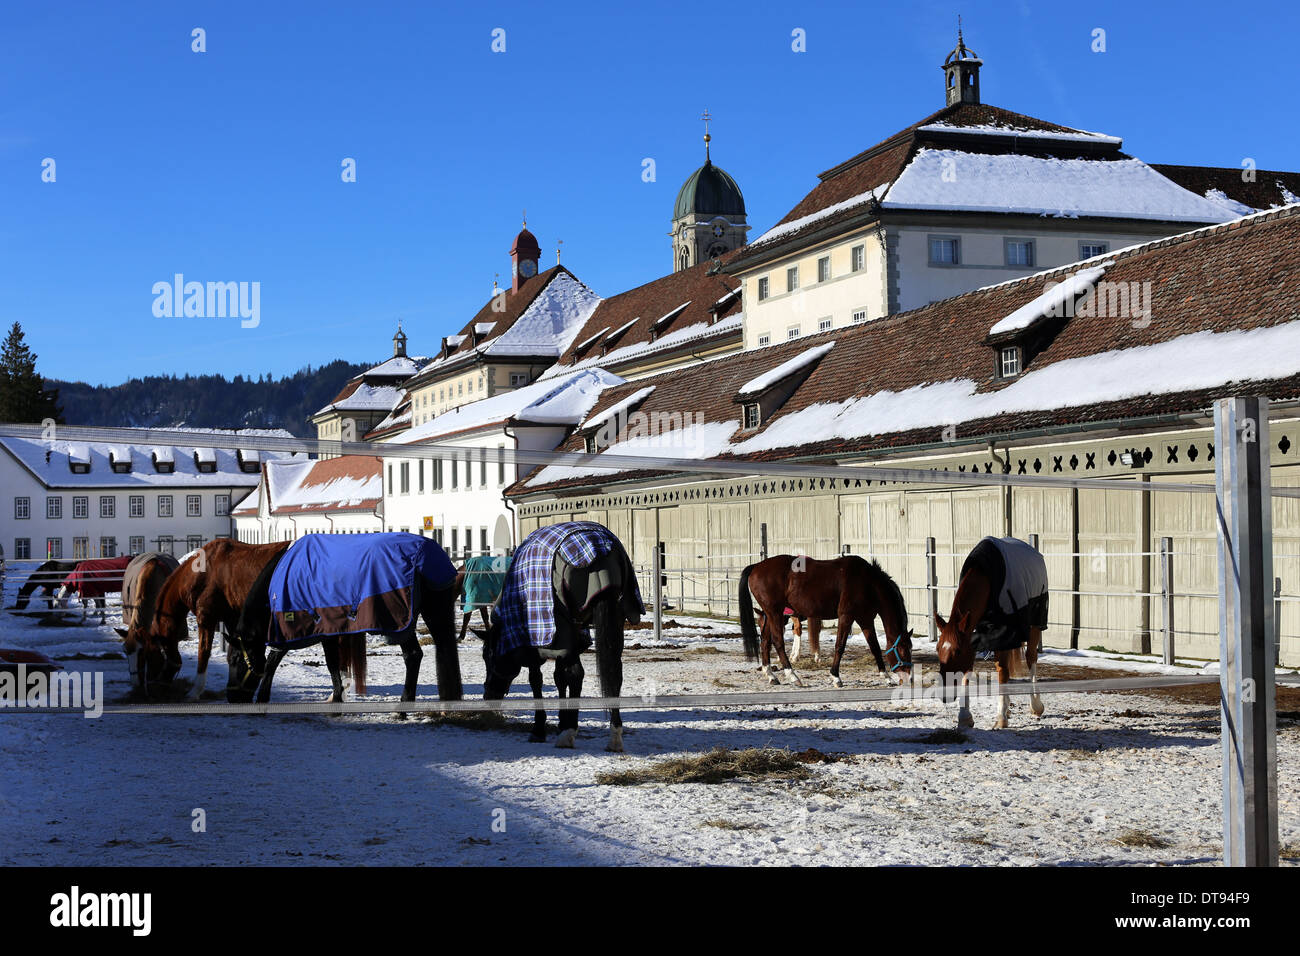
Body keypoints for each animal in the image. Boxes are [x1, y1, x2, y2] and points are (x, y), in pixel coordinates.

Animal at [148, 540, 292, 701]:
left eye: (152, 654)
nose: (150, 689)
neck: (204, 571)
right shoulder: (231, 620)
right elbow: (231, 654)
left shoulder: (206, 618)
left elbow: (203, 652)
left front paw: (195, 691)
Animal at [229, 532, 462, 706]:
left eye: (235, 659)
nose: (232, 698)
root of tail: (426, 556)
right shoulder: (329, 629)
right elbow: (333, 664)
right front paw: (337, 696)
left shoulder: (291, 628)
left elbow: (273, 661)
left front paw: (263, 697)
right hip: (435, 613)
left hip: (400, 623)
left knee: (413, 656)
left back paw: (404, 705)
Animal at [481, 521, 641, 752]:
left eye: (487, 656)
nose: (488, 696)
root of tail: (599, 549)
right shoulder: (568, 640)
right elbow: (559, 678)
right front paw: (561, 720)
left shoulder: (539, 644)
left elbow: (537, 681)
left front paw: (540, 729)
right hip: (613, 619)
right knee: (614, 674)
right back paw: (614, 736)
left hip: (565, 622)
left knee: (576, 674)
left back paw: (568, 734)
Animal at [739, 554, 913, 687]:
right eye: (903, 650)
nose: (909, 678)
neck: (868, 583)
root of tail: (756, 566)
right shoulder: (846, 617)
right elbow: (840, 646)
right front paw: (836, 677)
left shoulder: (865, 619)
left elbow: (875, 647)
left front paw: (886, 677)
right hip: (775, 613)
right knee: (777, 641)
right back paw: (793, 676)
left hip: (772, 615)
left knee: (765, 641)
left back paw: (770, 675)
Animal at [935, 536, 1048, 729]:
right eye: (937, 649)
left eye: (957, 652)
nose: (945, 695)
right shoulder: (975, 634)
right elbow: (968, 671)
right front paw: (965, 716)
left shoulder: (1007, 633)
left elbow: (1003, 671)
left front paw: (1001, 718)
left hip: (1035, 623)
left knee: (1031, 658)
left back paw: (1035, 706)